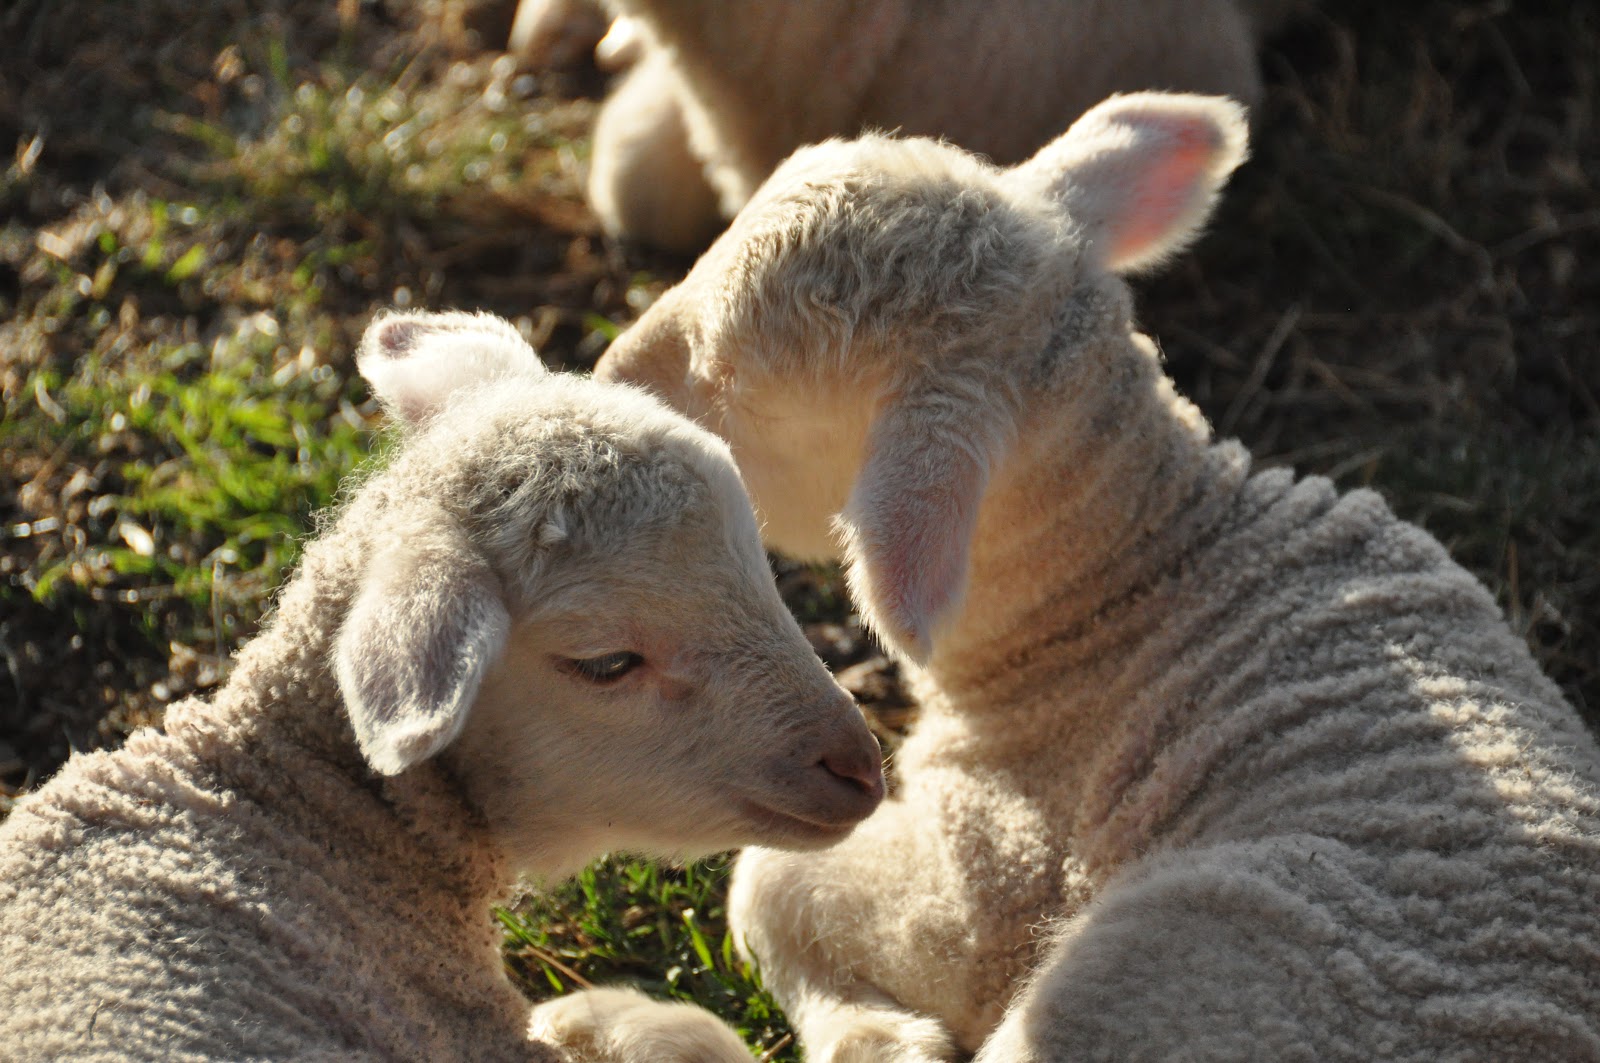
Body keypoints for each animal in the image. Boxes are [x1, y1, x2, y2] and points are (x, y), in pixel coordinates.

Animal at [594, 93, 1600, 1061]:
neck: (1134, 573)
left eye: (735, 379)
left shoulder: (987, 877)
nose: (604, 368)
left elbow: (766, 882)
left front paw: (882, 1035)